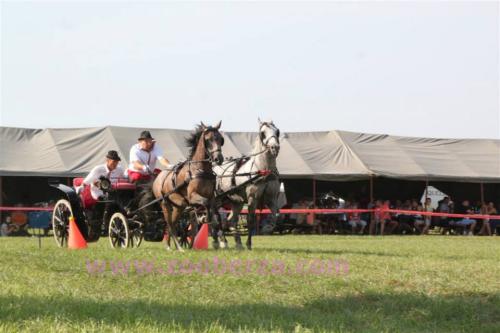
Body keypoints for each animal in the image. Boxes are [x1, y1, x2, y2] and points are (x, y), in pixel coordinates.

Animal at [151, 120, 224, 250]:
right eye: (209, 139)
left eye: (221, 139)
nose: (218, 158)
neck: (200, 169)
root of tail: (158, 177)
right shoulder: (192, 197)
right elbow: (205, 204)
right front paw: (204, 218)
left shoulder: (211, 197)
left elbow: (213, 210)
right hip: (164, 204)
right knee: (170, 224)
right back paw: (177, 247)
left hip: (178, 206)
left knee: (173, 223)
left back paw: (171, 245)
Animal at [212, 119, 282, 249]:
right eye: (263, 133)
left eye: (277, 131)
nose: (275, 147)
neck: (263, 170)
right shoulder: (252, 198)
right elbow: (251, 220)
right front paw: (249, 244)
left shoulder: (271, 198)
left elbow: (276, 216)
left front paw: (267, 228)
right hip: (216, 200)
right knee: (215, 218)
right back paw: (221, 241)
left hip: (236, 201)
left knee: (230, 220)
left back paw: (237, 242)